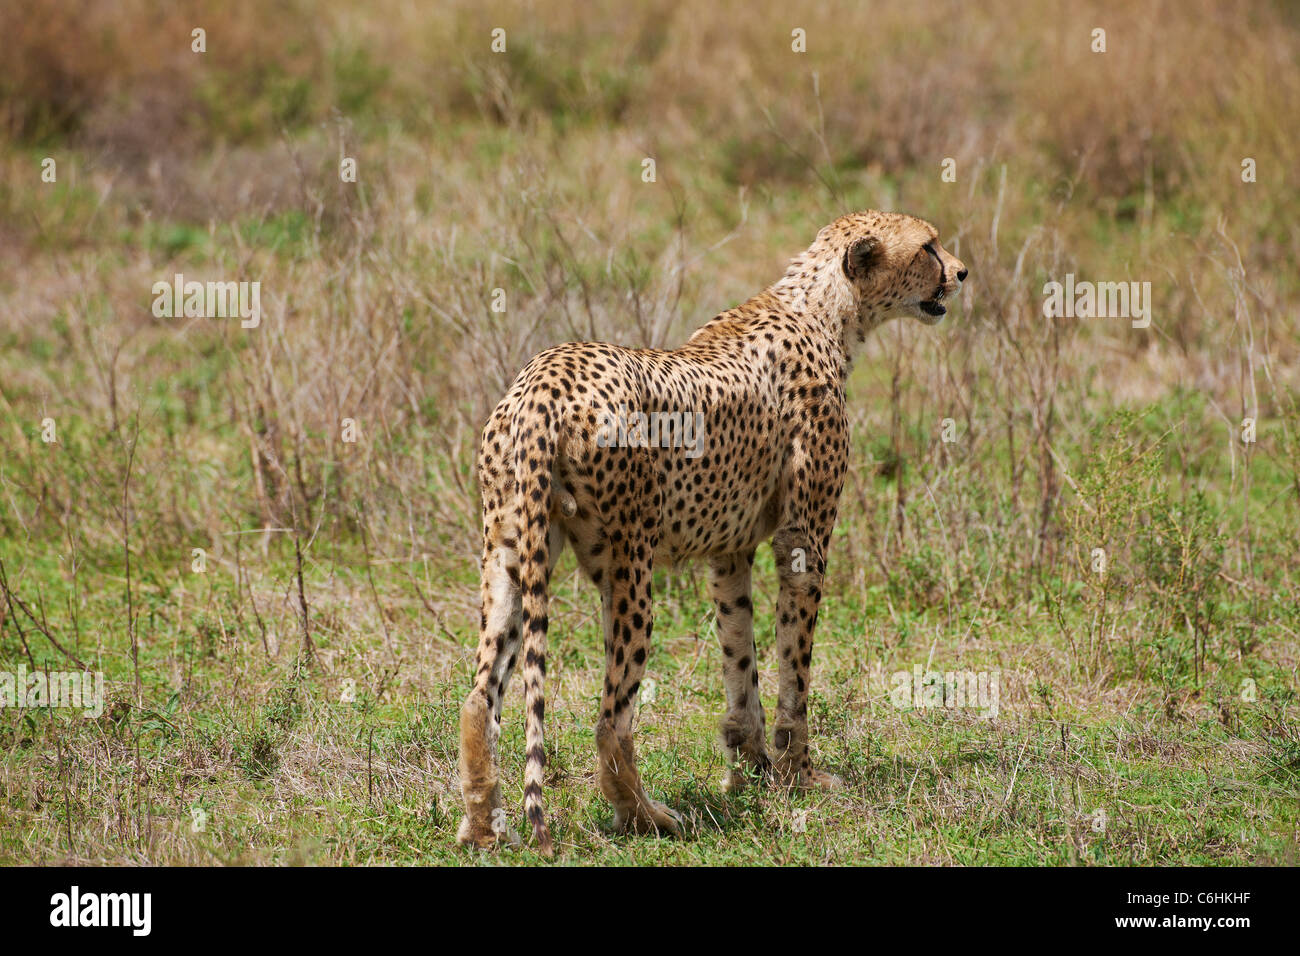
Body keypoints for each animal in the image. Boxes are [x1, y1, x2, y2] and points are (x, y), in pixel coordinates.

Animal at [457, 209, 967, 854]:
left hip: (510, 549)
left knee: (479, 699)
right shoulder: (803, 540)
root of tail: (545, 379)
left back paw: (481, 826)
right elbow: (794, 665)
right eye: (928, 246)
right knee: (611, 718)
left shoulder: (730, 550)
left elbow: (739, 652)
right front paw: (798, 774)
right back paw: (649, 818)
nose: (961, 271)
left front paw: (750, 765)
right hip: (629, 565)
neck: (826, 308)